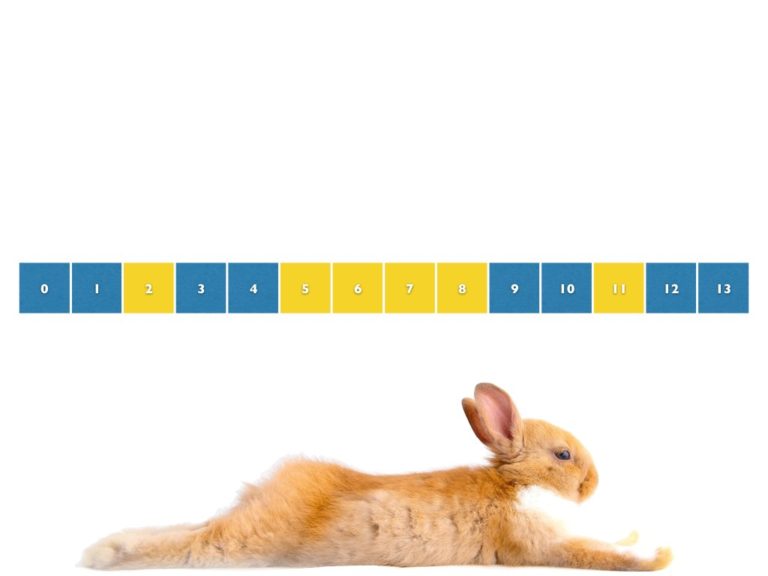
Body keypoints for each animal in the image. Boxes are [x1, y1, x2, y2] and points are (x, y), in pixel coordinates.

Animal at [81, 383, 671, 570]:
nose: (594, 485)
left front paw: (641, 537)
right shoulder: (537, 546)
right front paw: (658, 557)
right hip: (246, 544)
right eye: (564, 456)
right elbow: (595, 554)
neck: (514, 486)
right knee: (192, 545)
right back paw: (103, 555)